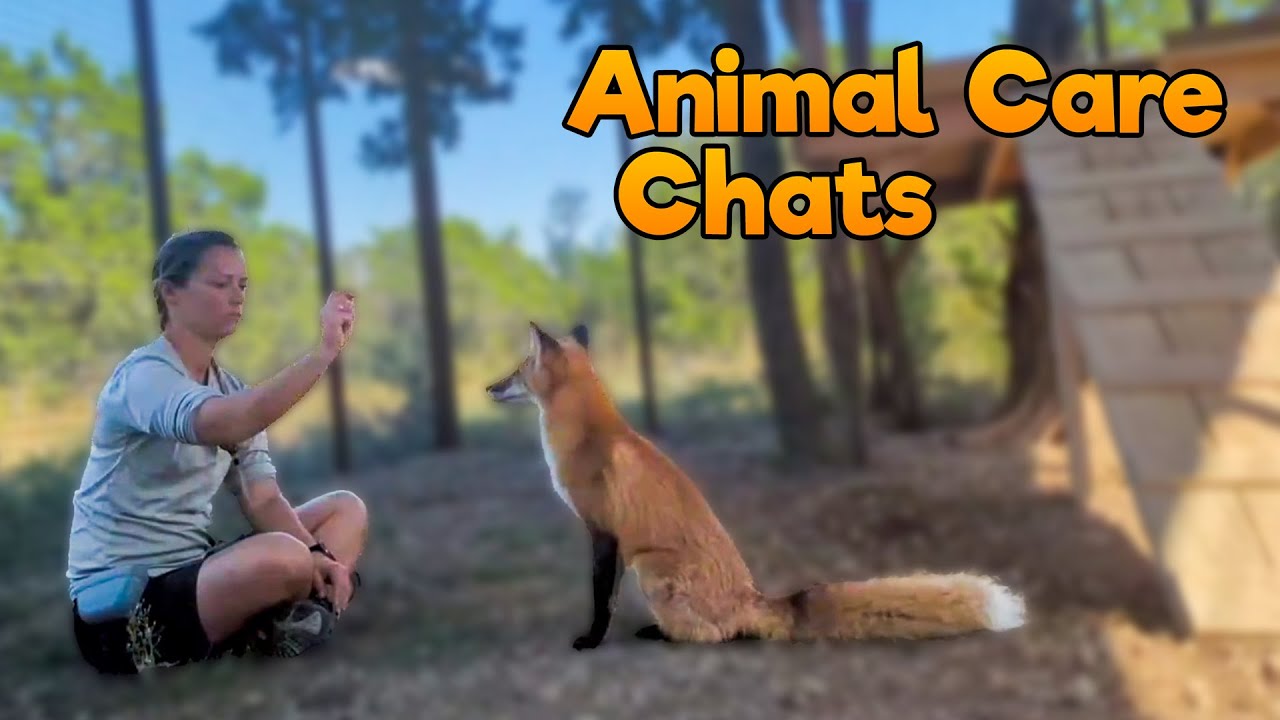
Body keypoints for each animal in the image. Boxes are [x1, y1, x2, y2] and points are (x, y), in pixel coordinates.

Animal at [485, 321, 1027, 650]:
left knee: (716, 635)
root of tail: (756, 598)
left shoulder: (604, 533)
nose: (488, 387)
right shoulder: (607, 539)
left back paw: (662, 633)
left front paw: (592, 640)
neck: (589, 435)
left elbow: (602, 599)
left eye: (517, 370)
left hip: (651, 570)